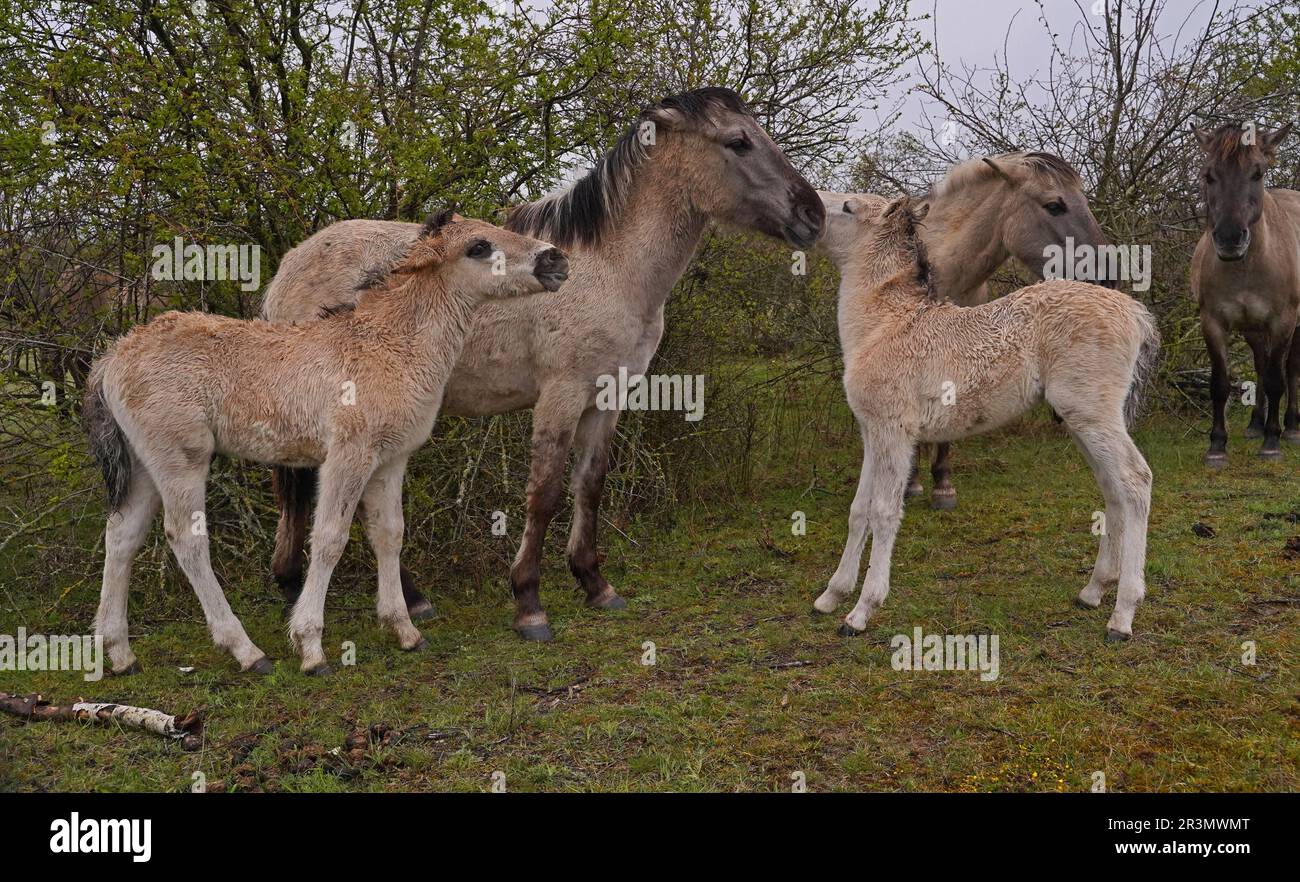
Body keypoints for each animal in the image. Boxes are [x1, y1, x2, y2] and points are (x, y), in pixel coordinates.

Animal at [84, 212, 566, 674]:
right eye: (479, 246)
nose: (555, 259)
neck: (388, 344)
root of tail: (114, 356)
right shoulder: (347, 456)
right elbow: (331, 537)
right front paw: (311, 647)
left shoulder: (391, 459)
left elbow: (389, 533)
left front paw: (405, 629)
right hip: (181, 460)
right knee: (186, 538)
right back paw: (246, 651)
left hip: (144, 466)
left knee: (122, 536)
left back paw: (120, 654)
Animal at [260, 87, 825, 641]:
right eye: (738, 142)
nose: (813, 214)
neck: (608, 269)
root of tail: (290, 266)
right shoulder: (561, 395)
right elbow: (545, 494)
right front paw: (529, 604)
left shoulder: (607, 397)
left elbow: (589, 485)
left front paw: (595, 584)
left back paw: (378, 596)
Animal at [812, 193, 1157, 641]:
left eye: (848, 208)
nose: (810, 209)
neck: (886, 326)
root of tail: (1134, 312)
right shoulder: (872, 433)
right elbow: (859, 511)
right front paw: (832, 595)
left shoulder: (895, 433)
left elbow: (884, 513)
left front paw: (861, 612)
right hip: (1084, 422)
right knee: (1113, 488)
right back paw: (1094, 590)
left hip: (1094, 416)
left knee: (1136, 480)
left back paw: (1123, 615)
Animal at [1190, 121, 1299, 464]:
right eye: (1208, 175)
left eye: (1257, 173)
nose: (1229, 238)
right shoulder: (1213, 322)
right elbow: (1220, 383)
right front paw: (1216, 445)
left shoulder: (1283, 321)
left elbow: (1278, 378)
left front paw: (1272, 442)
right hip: (1252, 328)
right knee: (1261, 363)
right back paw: (1255, 424)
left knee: (1289, 368)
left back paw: (1291, 427)